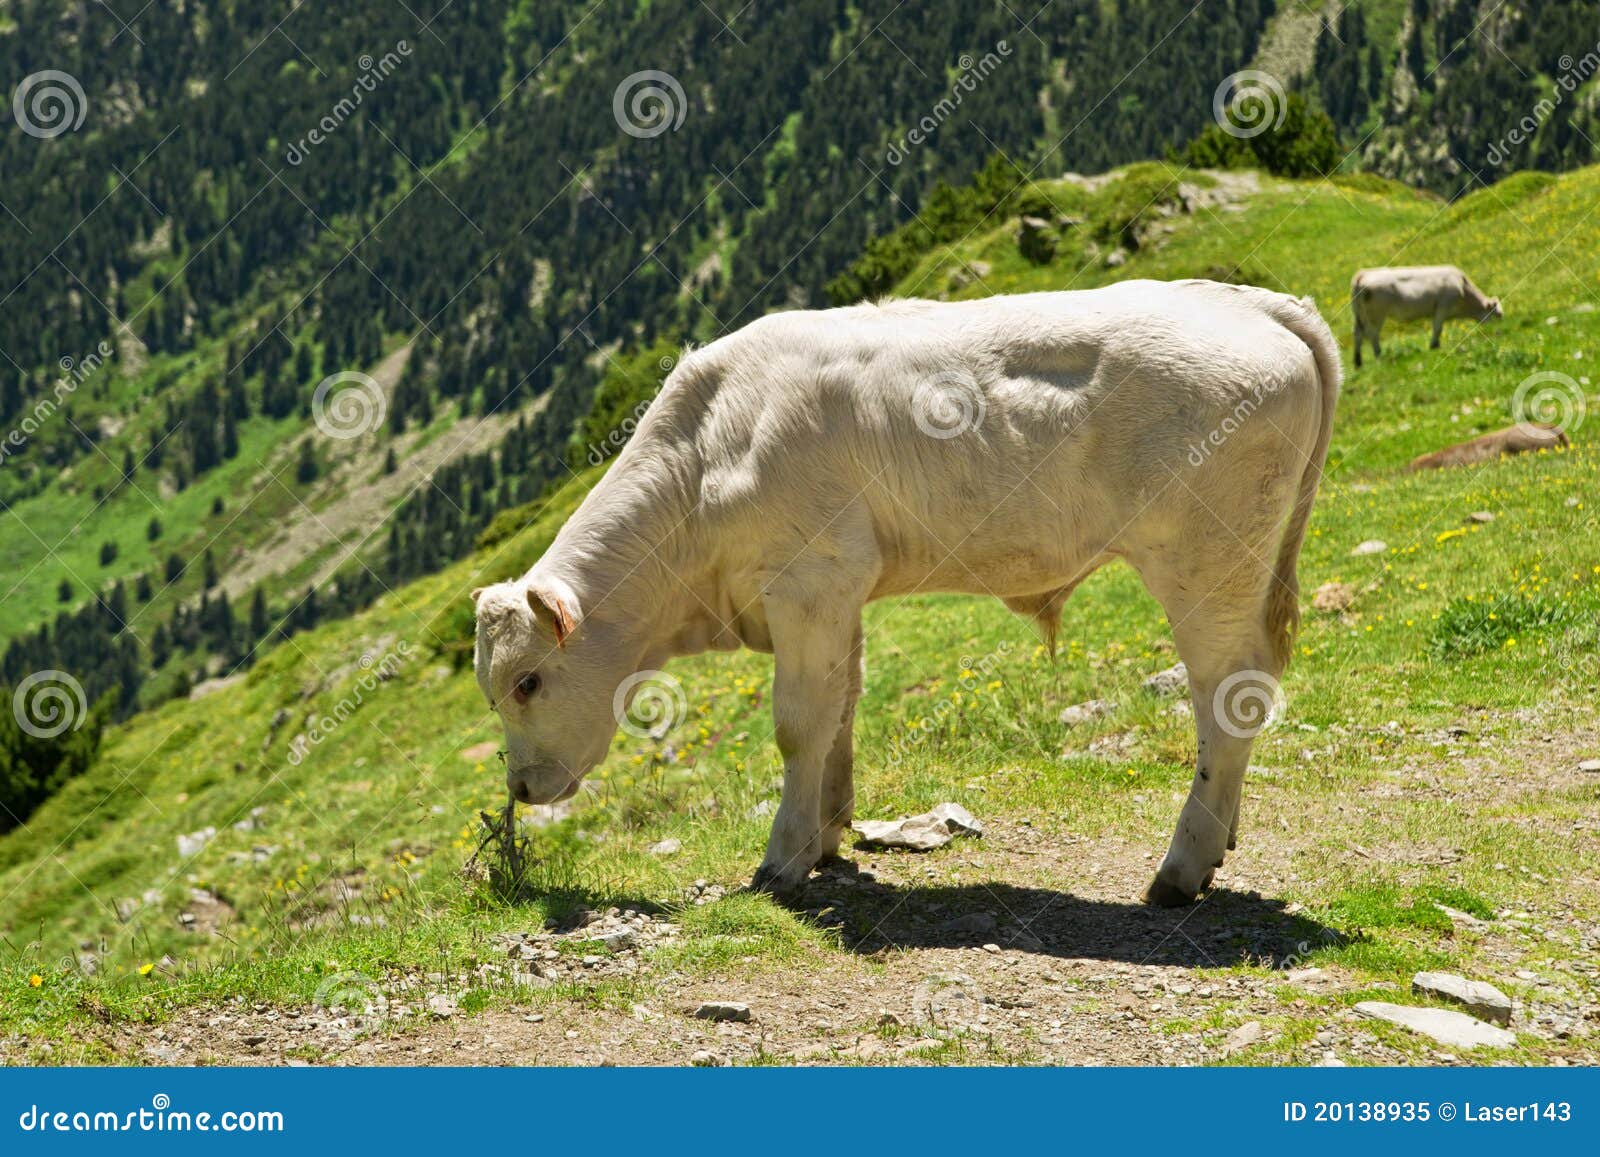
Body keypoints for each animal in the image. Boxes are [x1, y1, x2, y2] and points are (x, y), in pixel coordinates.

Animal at [473, 280, 1340, 906]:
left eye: (527, 681)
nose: (520, 787)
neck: (707, 453)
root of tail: (1256, 301)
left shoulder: (808, 581)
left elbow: (798, 723)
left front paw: (782, 859)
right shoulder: (840, 594)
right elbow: (840, 710)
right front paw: (827, 835)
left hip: (1206, 563)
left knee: (1229, 696)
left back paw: (1181, 868)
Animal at [1351, 265, 1501, 367]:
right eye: (1498, 315)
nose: (1501, 328)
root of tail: (1363, 273)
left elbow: (1437, 327)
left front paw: (1436, 344)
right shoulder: (1443, 307)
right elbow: (1438, 328)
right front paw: (1434, 345)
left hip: (1360, 316)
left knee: (1358, 334)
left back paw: (1358, 362)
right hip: (1376, 315)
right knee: (1372, 333)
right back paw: (1378, 354)